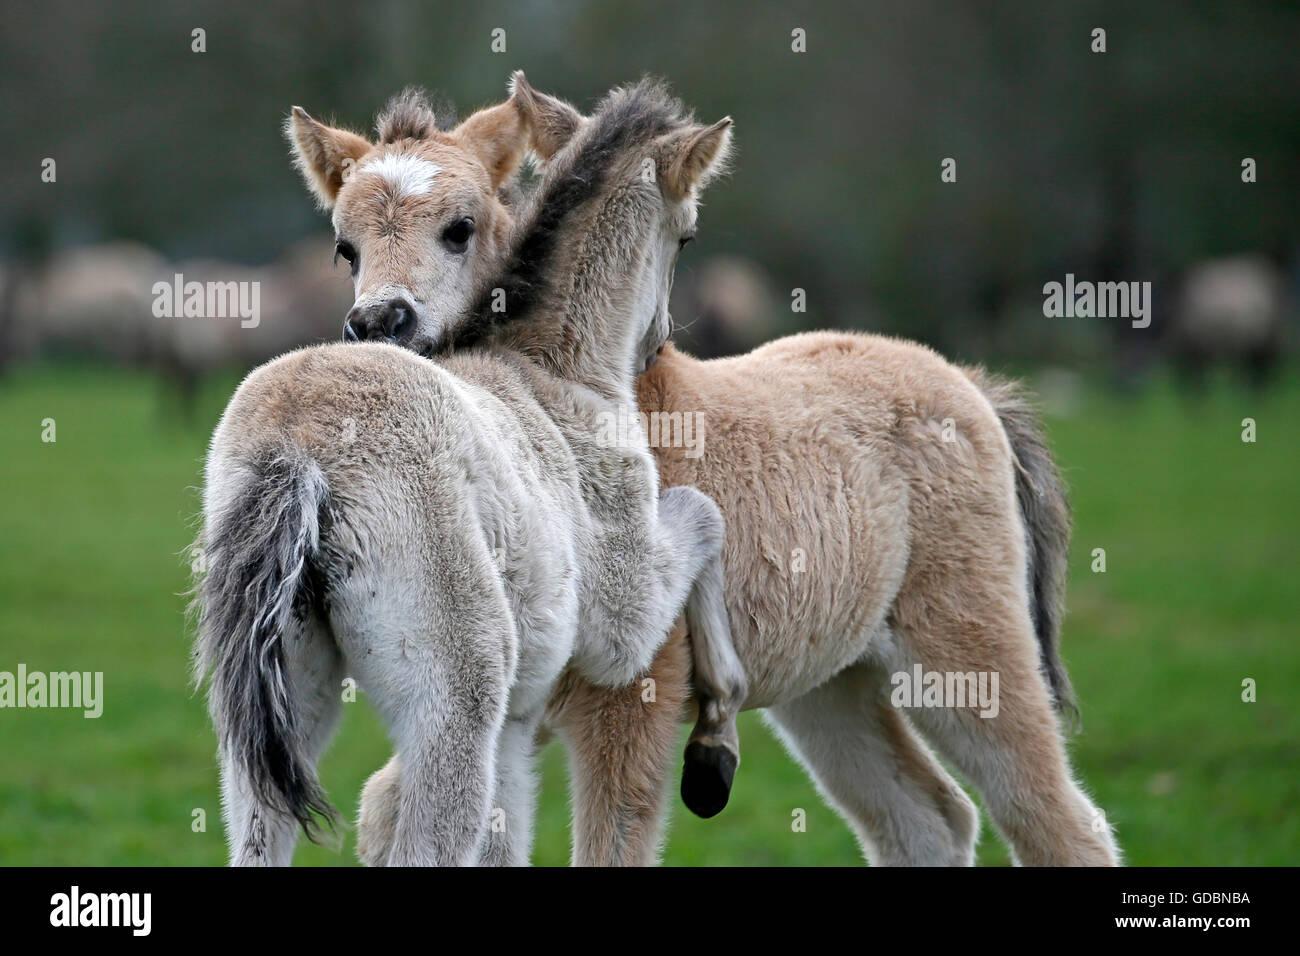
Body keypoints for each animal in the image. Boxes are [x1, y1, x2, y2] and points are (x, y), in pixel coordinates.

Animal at [191, 76, 737, 865]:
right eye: (687, 234)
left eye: (461, 228)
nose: (656, 347)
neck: (551, 366)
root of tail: (297, 449)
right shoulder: (625, 615)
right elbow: (704, 514)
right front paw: (716, 742)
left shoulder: (517, 725)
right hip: (451, 704)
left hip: (279, 705)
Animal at [346, 78, 1120, 866]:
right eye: (346, 246)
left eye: (460, 229)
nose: (381, 324)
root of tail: (969, 384)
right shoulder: (507, 708)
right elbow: (390, 815)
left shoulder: (634, 702)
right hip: (832, 683)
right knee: (928, 819)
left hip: (968, 648)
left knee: (1058, 823)